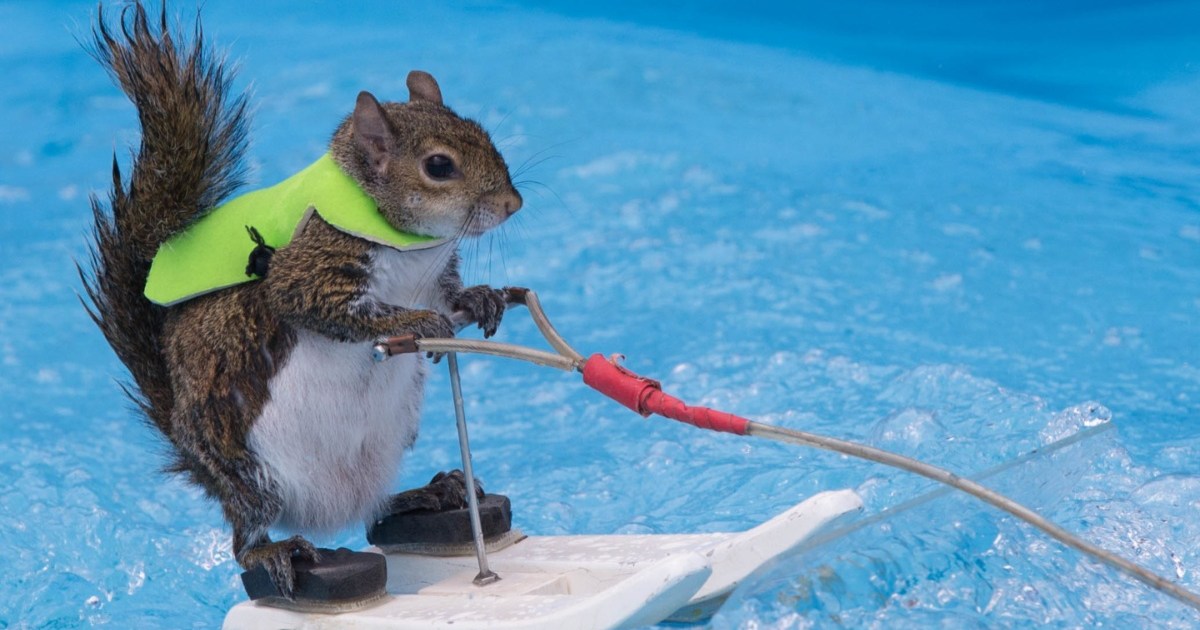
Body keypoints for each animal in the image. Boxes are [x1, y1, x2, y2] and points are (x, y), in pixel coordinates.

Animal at [82, 4, 521, 599]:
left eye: (481, 132)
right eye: (439, 166)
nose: (513, 203)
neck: (411, 249)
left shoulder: (435, 273)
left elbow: (452, 296)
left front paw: (481, 300)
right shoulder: (311, 266)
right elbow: (321, 306)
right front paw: (419, 320)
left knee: (374, 513)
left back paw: (434, 492)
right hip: (245, 469)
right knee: (246, 537)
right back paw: (272, 550)